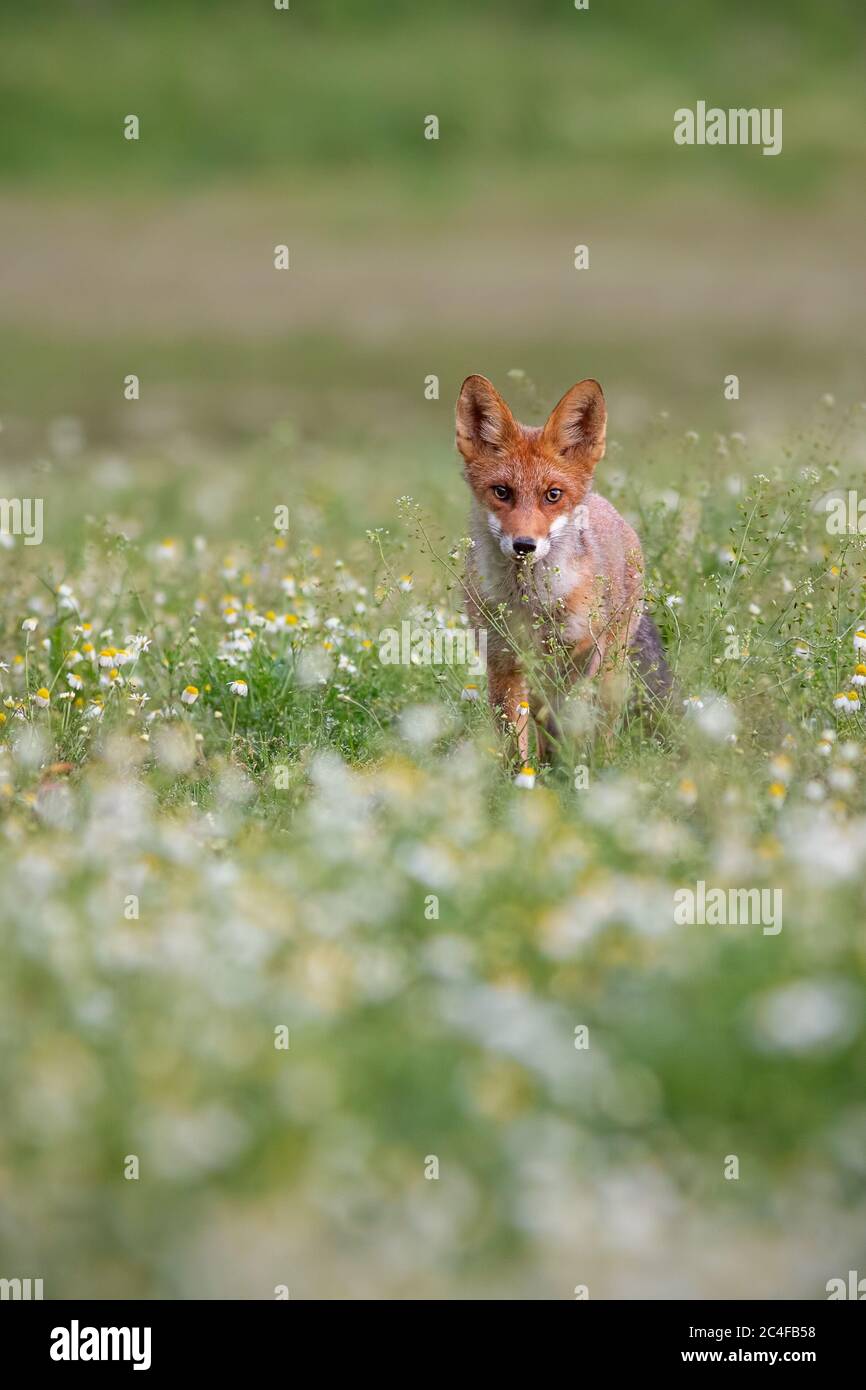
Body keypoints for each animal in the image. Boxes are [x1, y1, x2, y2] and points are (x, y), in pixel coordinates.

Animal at [455, 373, 671, 760]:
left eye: (552, 495)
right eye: (502, 491)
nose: (524, 545)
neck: (529, 602)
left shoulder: (578, 656)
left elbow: (563, 722)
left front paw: (564, 768)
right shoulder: (502, 660)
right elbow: (513, 737)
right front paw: (521, 774)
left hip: (610, 670)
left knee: (603, 728)